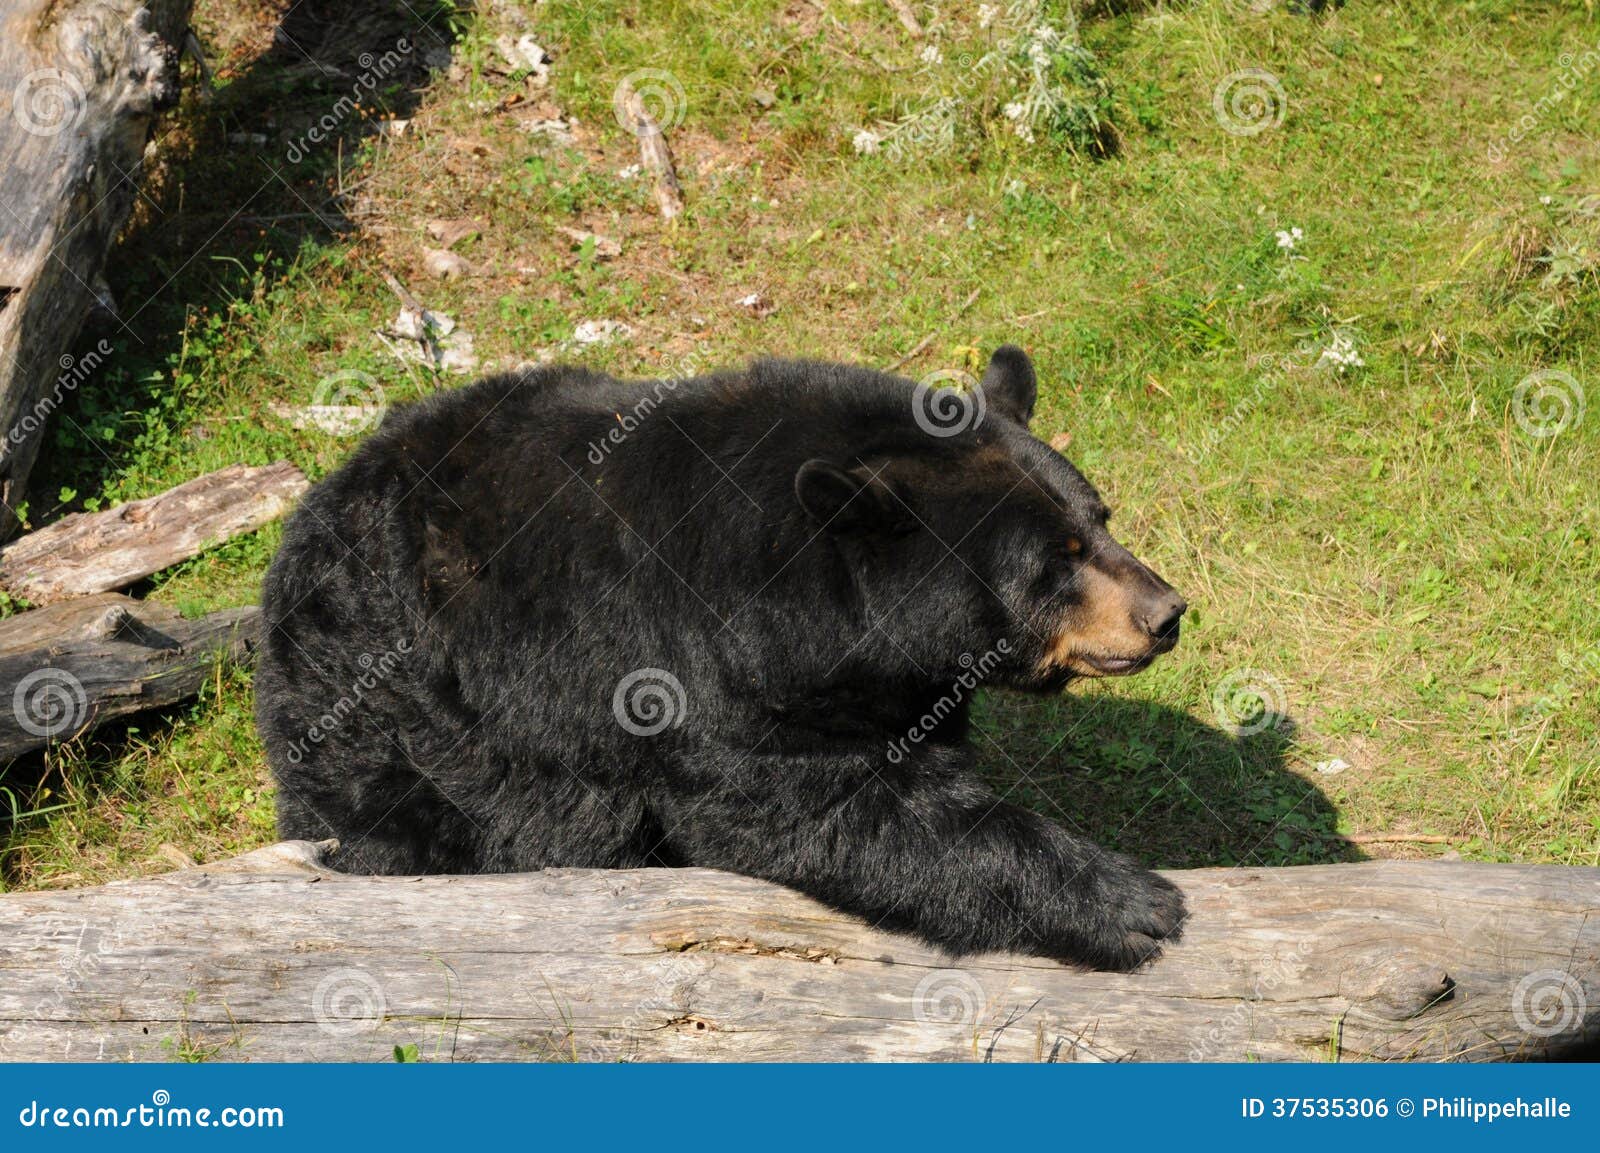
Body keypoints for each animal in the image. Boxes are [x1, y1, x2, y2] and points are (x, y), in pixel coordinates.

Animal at [256, 346, 1189, 970]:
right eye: (1055, 561)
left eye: (1099, 518)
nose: (1165, 612)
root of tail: (312, 508)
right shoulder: (706, 676)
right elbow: (829, 807)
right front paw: (1133, 902)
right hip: (388, 704)